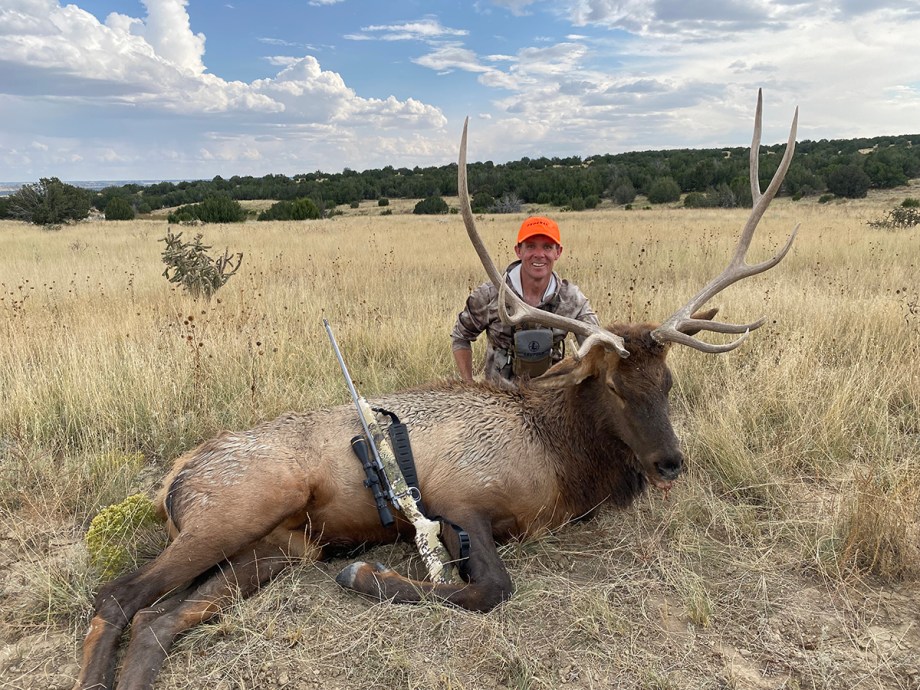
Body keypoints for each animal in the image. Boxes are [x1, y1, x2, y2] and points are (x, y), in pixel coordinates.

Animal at [73, 90, 798, 690]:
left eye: (667, 382)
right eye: (615, 386)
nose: (670, 462)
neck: (562, 465)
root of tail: (173, 479)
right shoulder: (456, 497)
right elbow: (491, 589)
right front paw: (366, 573)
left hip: (278, 545)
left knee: (160, 619)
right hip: (239, 506)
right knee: (116, 596)